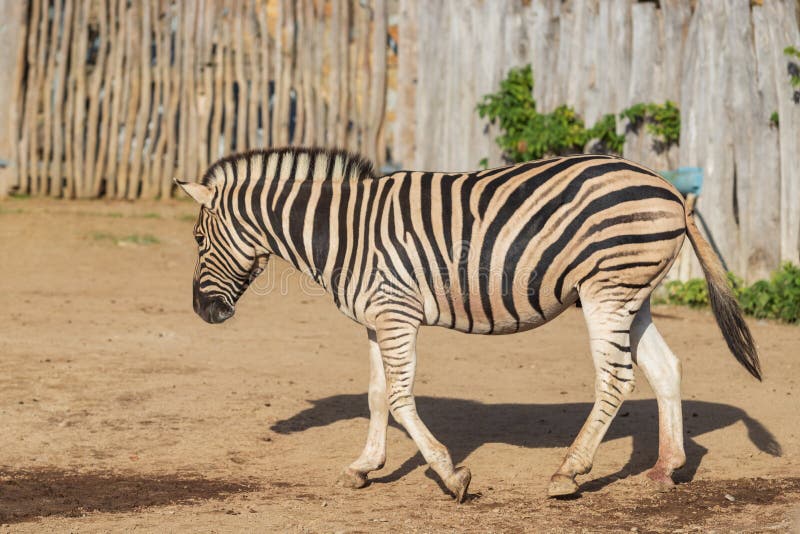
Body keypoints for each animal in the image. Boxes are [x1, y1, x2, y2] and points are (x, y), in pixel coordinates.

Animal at [176, 147, 761, 501]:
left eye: (199, 240)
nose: (204, 313)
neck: (344, 232)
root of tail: (668, 188)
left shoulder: (396, 313)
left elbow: (399, 399)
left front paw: (450, 474)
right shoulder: (376, 319)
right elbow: (375, 395)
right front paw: (365, 465)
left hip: (606, 292)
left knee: (616, 379)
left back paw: (569, 472)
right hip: (631, 295)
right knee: (666, 369)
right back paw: (665, 468)